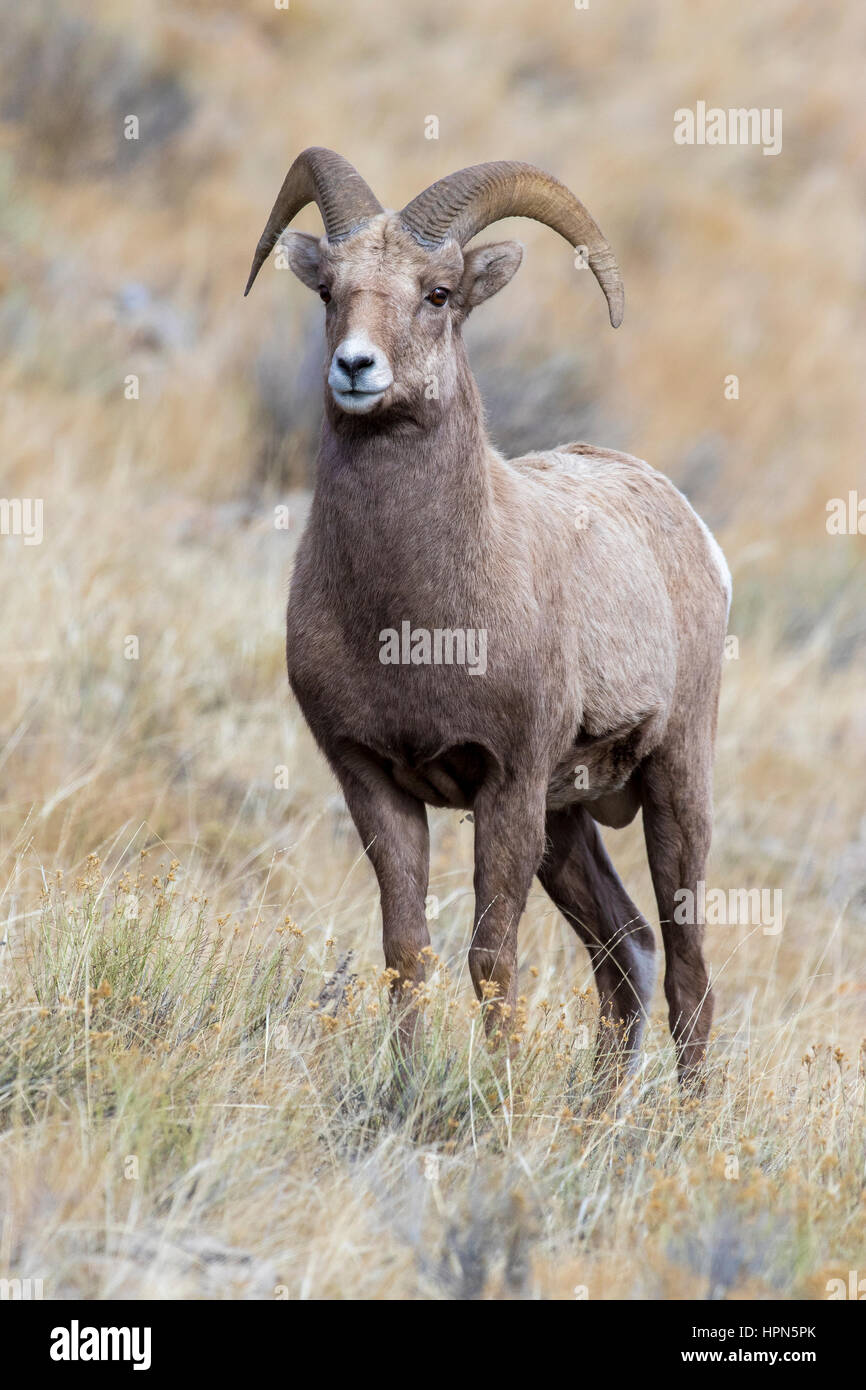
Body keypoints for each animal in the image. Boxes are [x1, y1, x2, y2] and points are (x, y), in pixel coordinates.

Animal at [244, 148, 731, 1095]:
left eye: (438, 293)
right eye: (329, 293)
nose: (355, 367)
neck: (413, 623)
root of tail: (688, 523)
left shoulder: (506, 785)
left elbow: (491, 959)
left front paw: (495, 1099)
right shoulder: (376, 782)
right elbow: (407, 952)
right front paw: (405, 1085)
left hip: (672, 781)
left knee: (687, 969)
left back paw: (686, 1119)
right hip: (568, 824)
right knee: (627, 954)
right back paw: (597, 1112)